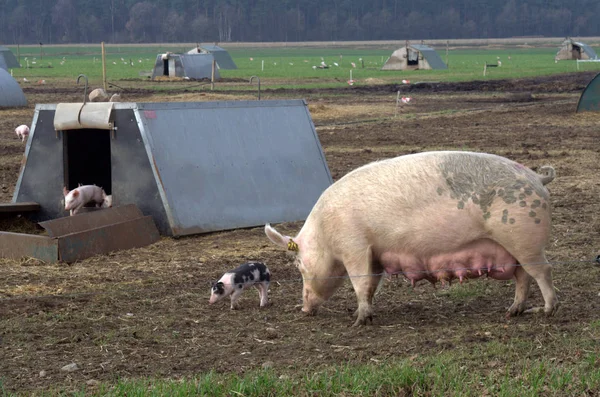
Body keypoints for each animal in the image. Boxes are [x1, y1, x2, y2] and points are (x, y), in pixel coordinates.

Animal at [264, 150, 560, 326]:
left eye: (298, 264)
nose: (303, 309)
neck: (325, 234)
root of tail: (536, 176)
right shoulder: (375, 254)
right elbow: (370, 286)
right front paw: (364, 315)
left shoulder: (354, 246)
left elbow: (359, 282)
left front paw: (357, 322)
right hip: (515, 246)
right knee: (523, 277)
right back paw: (513, 312)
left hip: (525, 239)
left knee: (543, 271)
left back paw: (545, 311)